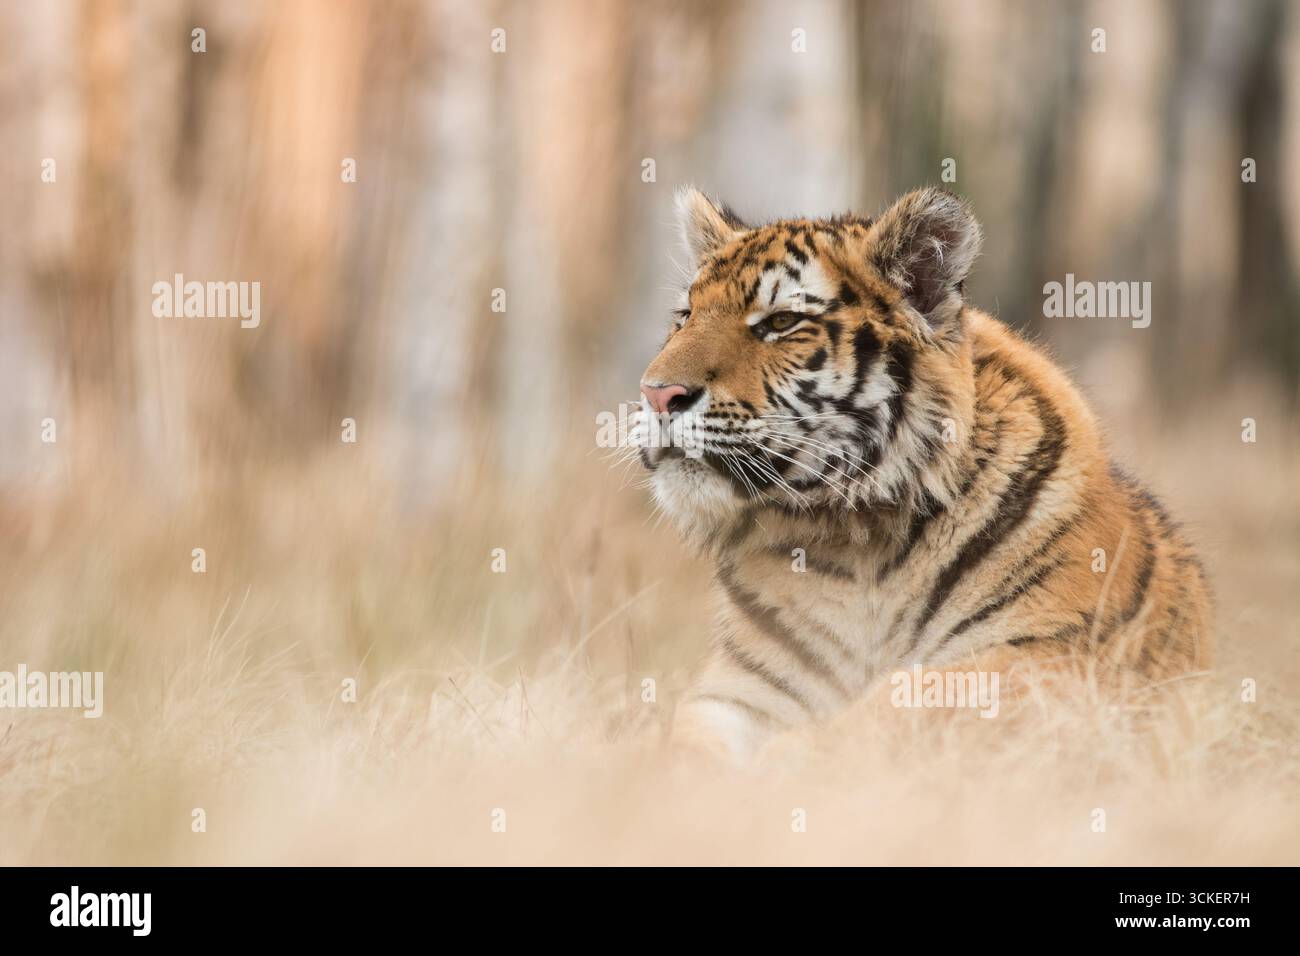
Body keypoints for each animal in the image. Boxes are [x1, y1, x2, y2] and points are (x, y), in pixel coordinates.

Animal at [632, 185, 1213, 758]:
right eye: (685, 316)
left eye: (780, 322)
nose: (658, 394)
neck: (850, 541)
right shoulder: (739, 690)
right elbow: (682, 751)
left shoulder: (1048, 659)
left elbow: (900, 705)